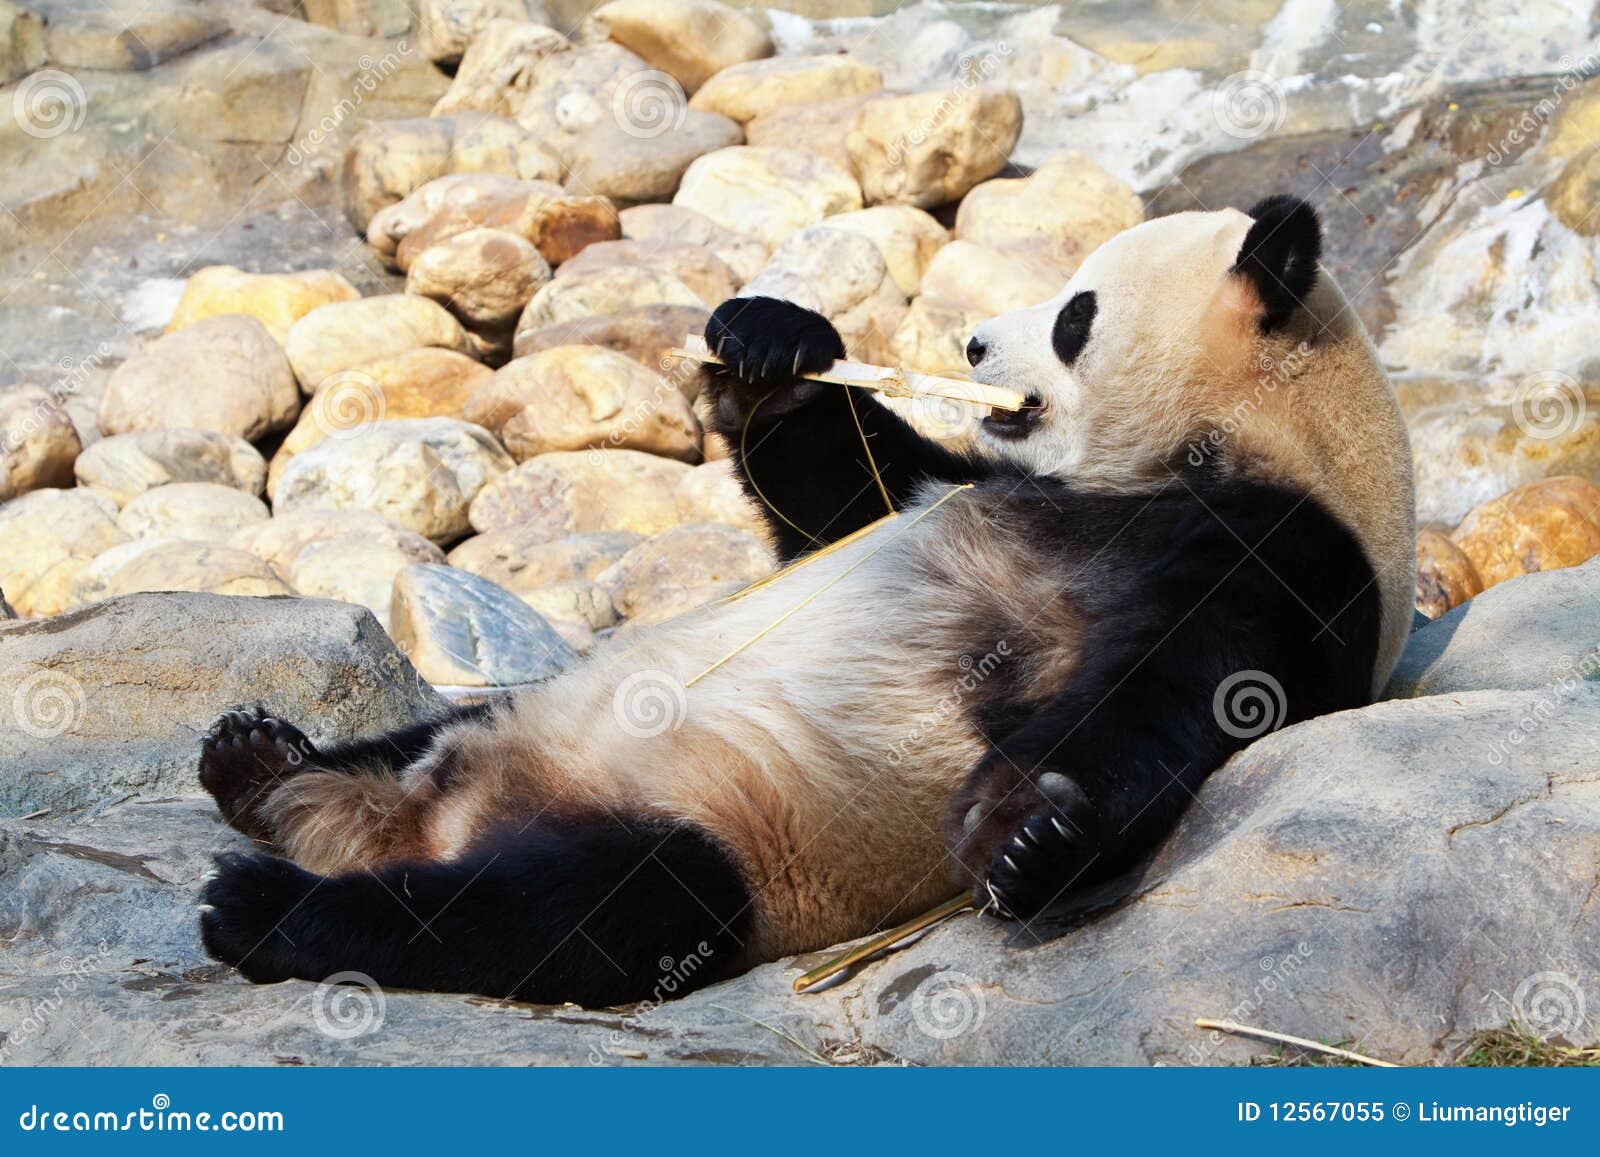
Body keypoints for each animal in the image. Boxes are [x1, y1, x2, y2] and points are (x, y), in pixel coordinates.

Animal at [195, 196, 1414, 1006]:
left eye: (1076, 314)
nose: (973, 342)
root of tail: (435, 817)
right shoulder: (981, 485)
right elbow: (844, 491)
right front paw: (771, 339)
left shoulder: (1284, 553)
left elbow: (1181, 685)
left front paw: (1027, 832)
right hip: (497, 718)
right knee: (414, 739)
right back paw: (262, 762)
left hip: (728, 847)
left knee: (569, 908)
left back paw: (269, 901)